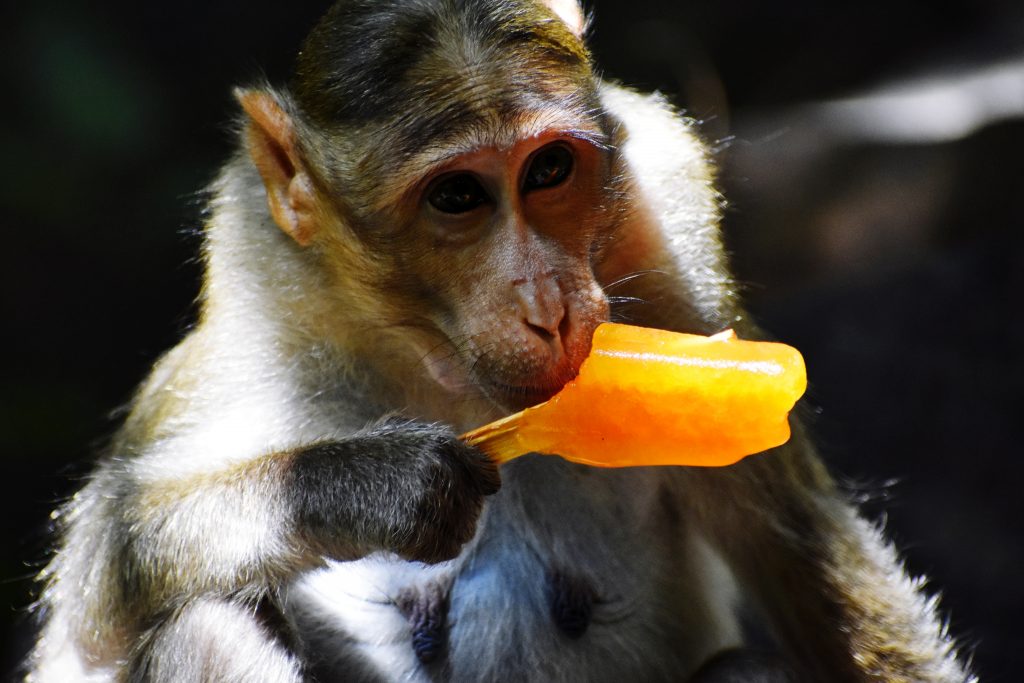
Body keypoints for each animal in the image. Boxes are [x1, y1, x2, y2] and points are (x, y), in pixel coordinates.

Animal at [26, 0, 976, 681]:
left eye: (549, 169)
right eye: (458, 197)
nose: (549, 303)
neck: (449, 374)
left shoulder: (684, 274)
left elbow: (807, 567)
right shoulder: (244, 342)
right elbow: (91, 598)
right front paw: (372, 484)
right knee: (205, 615)